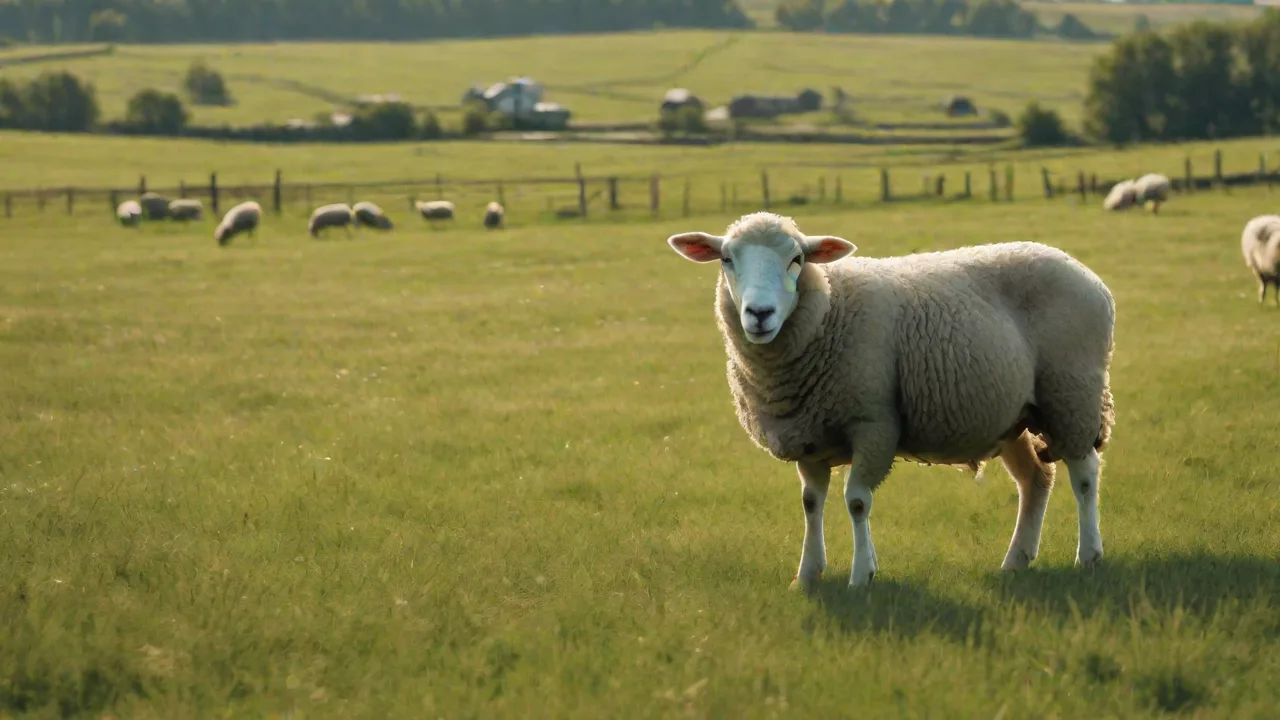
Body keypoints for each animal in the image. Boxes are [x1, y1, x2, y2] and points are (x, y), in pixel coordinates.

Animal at [666, 212, 1116, 589]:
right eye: (726, 258)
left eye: (796, 259)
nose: (759, 314)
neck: (828, 310)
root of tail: (1087, 275)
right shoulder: (809, 435)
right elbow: (811, 503)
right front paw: (807, 576)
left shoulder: (874, 423)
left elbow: (857, 501)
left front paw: (861, 576)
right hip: (1013, 416)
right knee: (1035, 479)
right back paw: (1016, 560)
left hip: (1071, 392)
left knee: (1084, 474)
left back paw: (1089, 555)